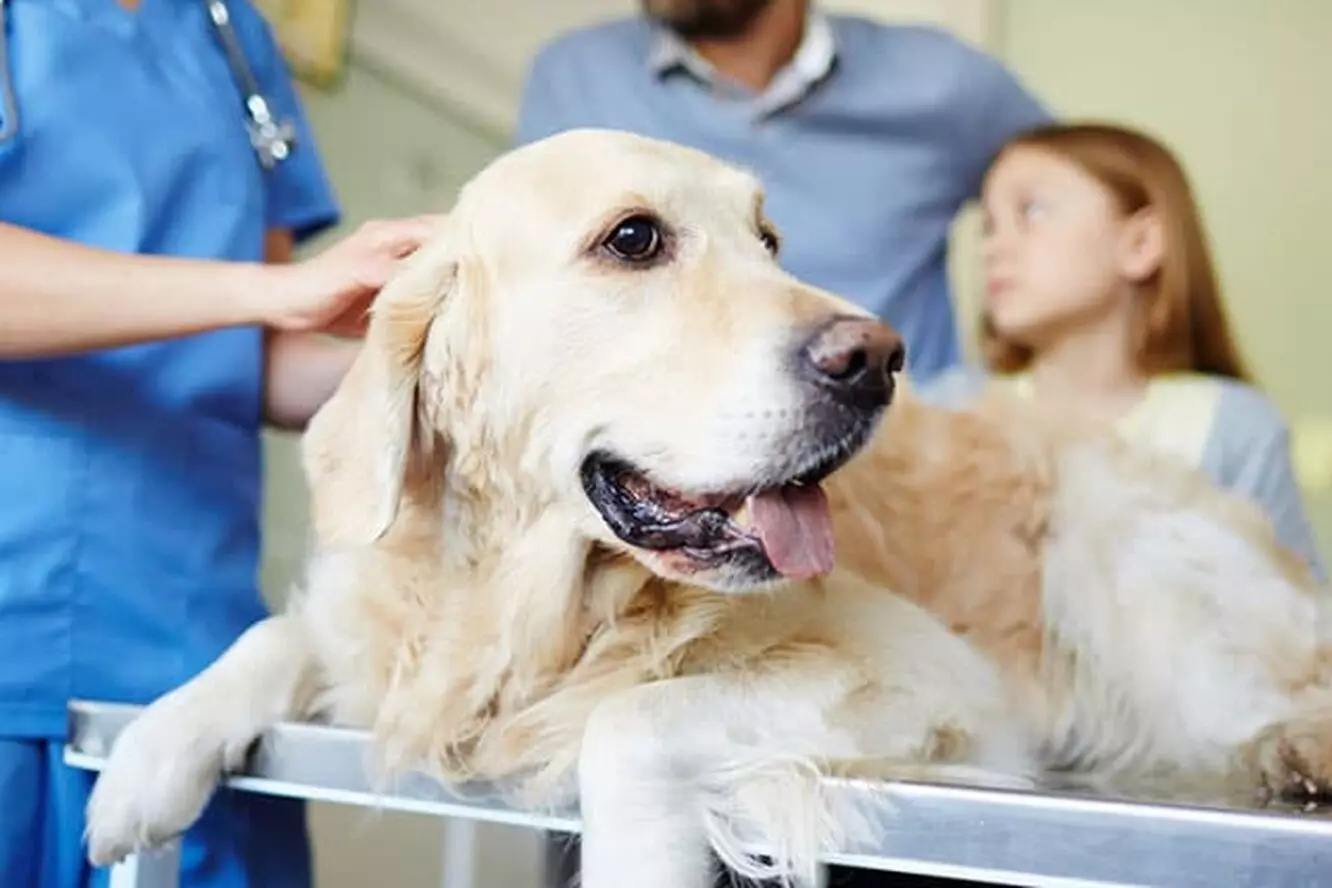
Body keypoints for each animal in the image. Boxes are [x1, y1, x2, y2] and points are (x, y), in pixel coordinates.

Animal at [85, 131, 1332, 888]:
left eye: (770, 242)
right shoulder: (394, 644)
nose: (876, 359)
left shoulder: (942, 680)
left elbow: (630, 724)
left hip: (1119, 555)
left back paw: (1295, 748)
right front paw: (151, 753)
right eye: (634, 238)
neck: (545, 611)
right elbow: (275, 634)